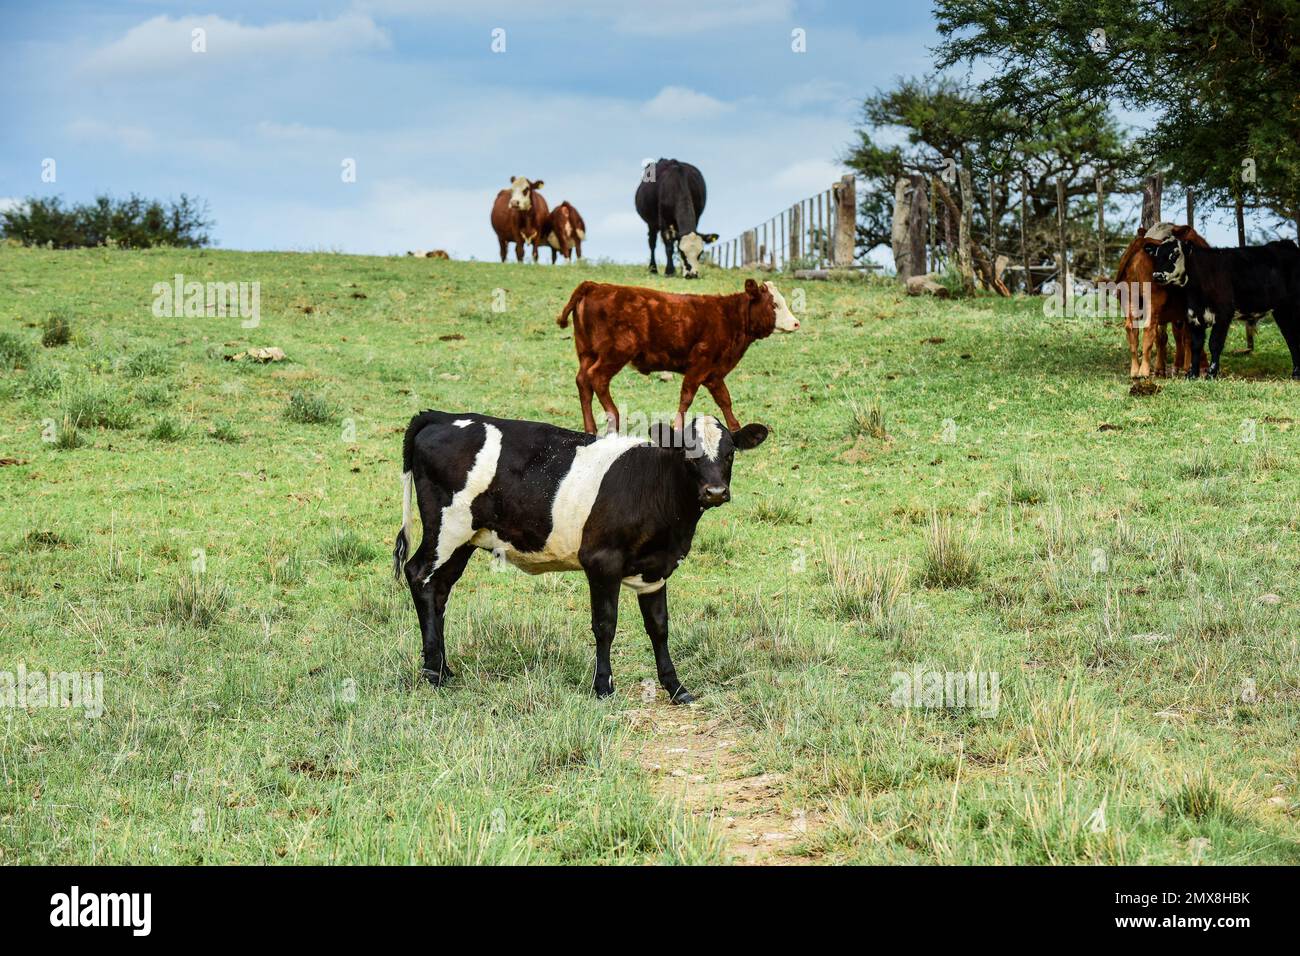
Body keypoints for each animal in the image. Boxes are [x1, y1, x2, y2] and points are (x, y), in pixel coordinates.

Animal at [393, 410, 769, 702]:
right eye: (688, 455)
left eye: (730, 453)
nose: (715, 492)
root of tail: (440, 416)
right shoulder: (602, 562)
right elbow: (605, 625)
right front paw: (603, 687)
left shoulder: (655, 570)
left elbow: (659, 627)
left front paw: (676, 688)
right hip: (446, 529)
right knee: (419, 575)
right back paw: (433, 673)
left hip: (464, 541)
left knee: (439, 591)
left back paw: (444, 668)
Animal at [557, 279, 800, 434]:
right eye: (774, 304)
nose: (796, 323)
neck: (728, 318)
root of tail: (595, 286)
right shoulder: (700, 364)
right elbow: (687, 396)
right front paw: (677, 426)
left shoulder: (713, 373)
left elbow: (724, 399)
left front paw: (735, 427)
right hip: (615, 353)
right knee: (597, 378)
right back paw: (614, 420)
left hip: (586, 352)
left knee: (583, 382)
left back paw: (590, 429)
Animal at [1145, 234, 1300, 378]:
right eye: (1156, 255)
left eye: (1175, 254)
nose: (1158, 275)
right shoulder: (1193, 316)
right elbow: (1196, 345)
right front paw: (1193, 374)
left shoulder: (1223, 314)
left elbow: (1214, 344)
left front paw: (1211, 373)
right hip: (1281, 310)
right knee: (1291, 338)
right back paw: (1295, 373)